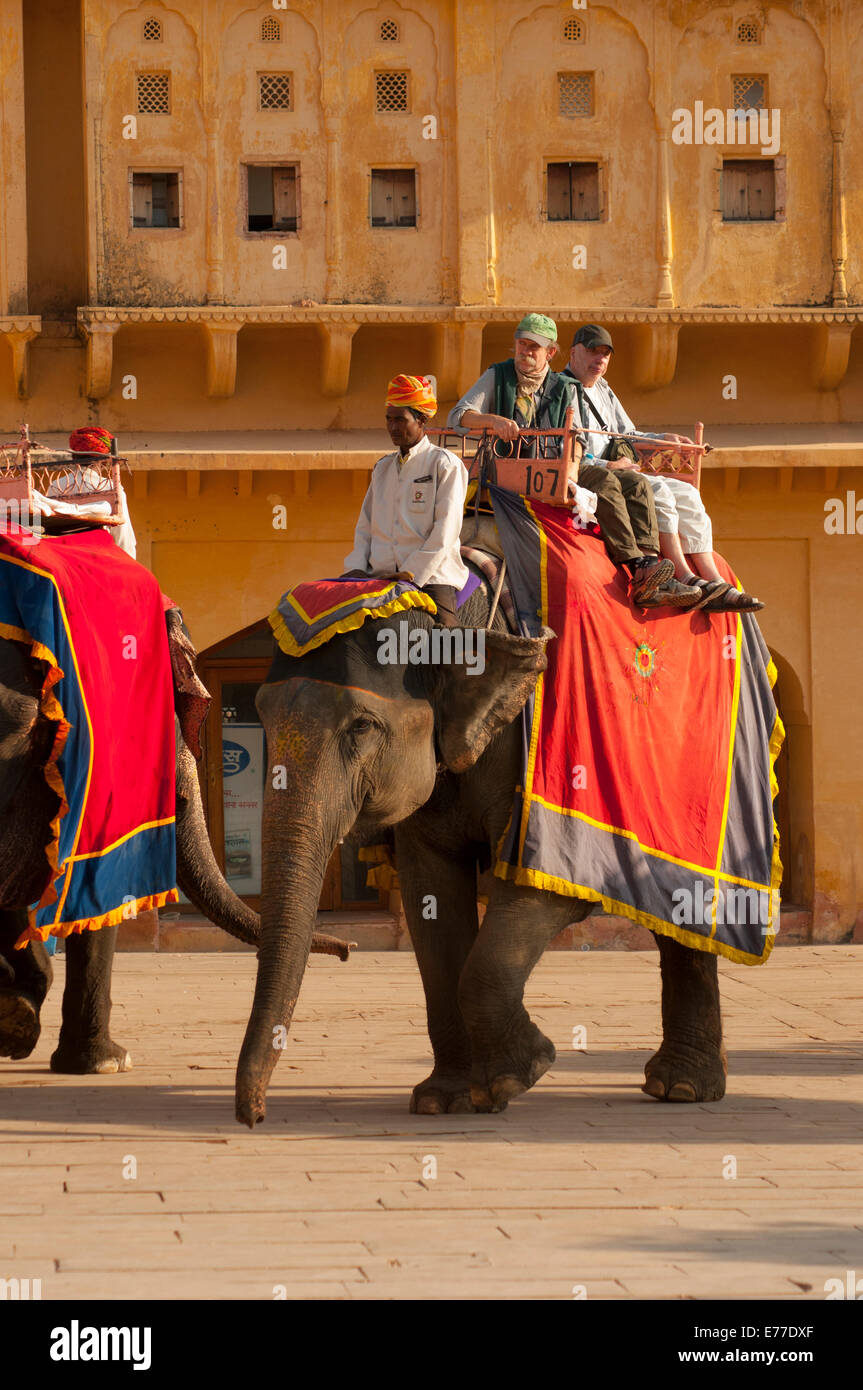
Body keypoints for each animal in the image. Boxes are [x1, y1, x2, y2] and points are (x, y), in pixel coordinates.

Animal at [235, 572, 725, 1126]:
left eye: (361, 725)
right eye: (260, 717)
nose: (254, 1116)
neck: (449, 619)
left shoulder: (538, 754)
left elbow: (548, 886)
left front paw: (519, 1074)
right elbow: (430, 897)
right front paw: (444, 1100)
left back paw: (681, 1087)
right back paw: (677, 1086)